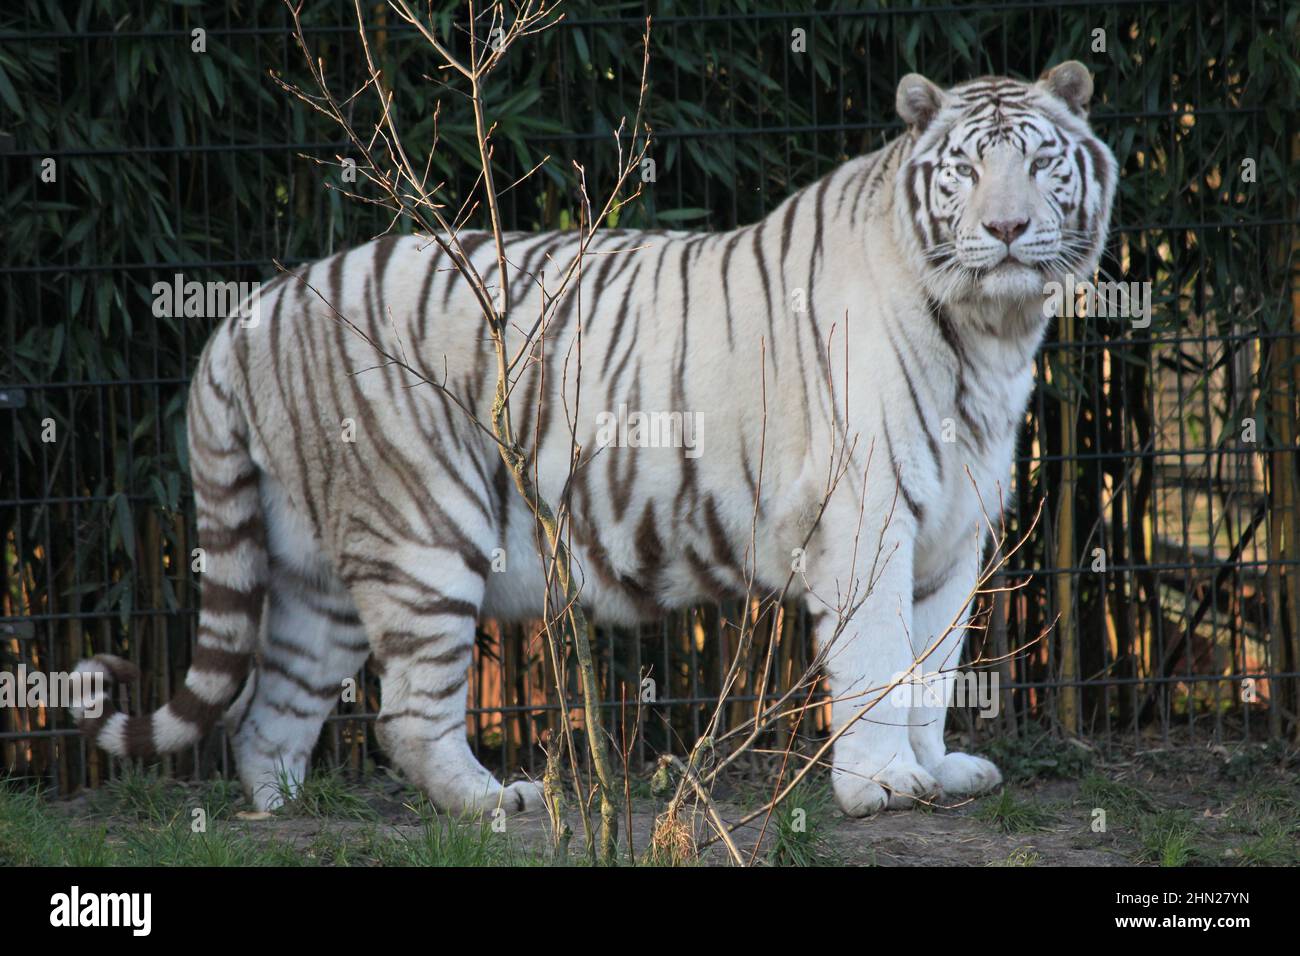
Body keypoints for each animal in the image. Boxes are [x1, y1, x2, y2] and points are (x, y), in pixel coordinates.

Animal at [73, 62, 1116, 818]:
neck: (990, 333)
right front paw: (882, 787)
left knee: (266, 711)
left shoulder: (954, 531)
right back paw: (493, 803)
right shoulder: (865, 518)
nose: (1008, 228)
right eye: (966, 169)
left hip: (314, 563)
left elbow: (931, 667)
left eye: (1042, 163)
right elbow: (874, 658)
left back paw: (282, 812)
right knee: (404, 714)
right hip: (422, 527)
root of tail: (248, 312)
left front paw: (936, 771)